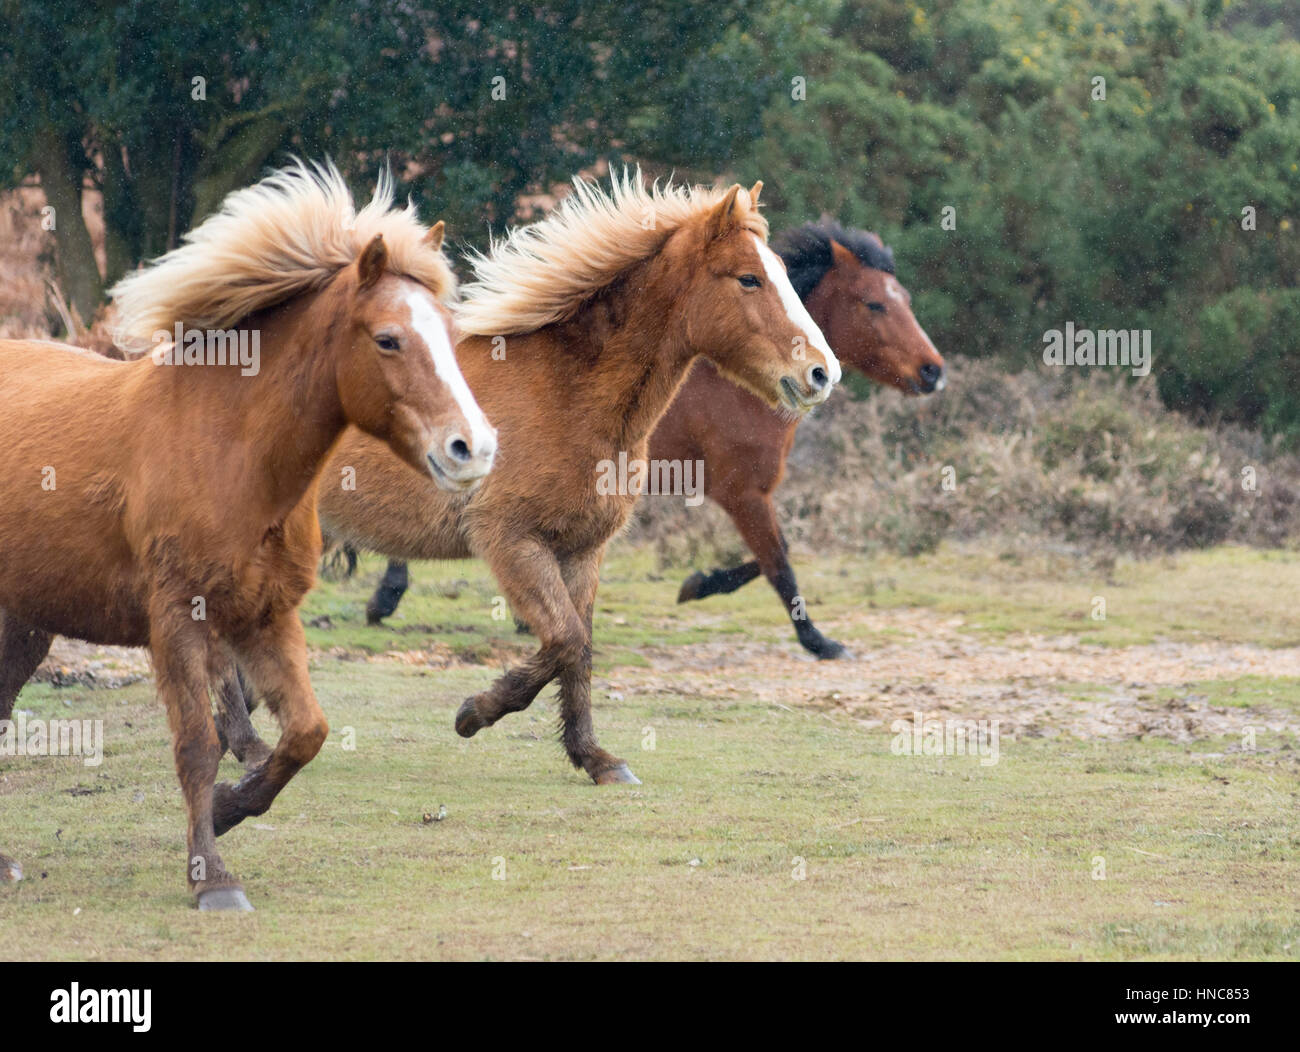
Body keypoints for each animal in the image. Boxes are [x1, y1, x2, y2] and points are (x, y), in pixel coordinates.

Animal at [0, 161, 495, 910]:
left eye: (448, 329)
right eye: (388, 339)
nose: (473, 449)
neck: (230, 453)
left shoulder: (266, 616)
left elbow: (305, 733)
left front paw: (233, 807)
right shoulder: (178, 620)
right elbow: (198, 746)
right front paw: (213, 877)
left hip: (26, 625)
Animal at [232, 171, 839, 787]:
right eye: (748, 278)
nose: (822, 373)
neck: (568, 393)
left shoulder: (581, 550)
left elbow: (580, 647)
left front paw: (594, 758)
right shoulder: (511, 542)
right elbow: (565, 640)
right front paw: (474, 714)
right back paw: (249, 745)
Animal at [362, 221, 944, 657]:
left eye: (905, 298)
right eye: (874, 304)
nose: (933, 372)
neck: (728, 386)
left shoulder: (745, 493)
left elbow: (767, 558)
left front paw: (697, 583)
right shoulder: (741, 492)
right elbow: (779, 563)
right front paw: (819, 641)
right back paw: (385, 598)